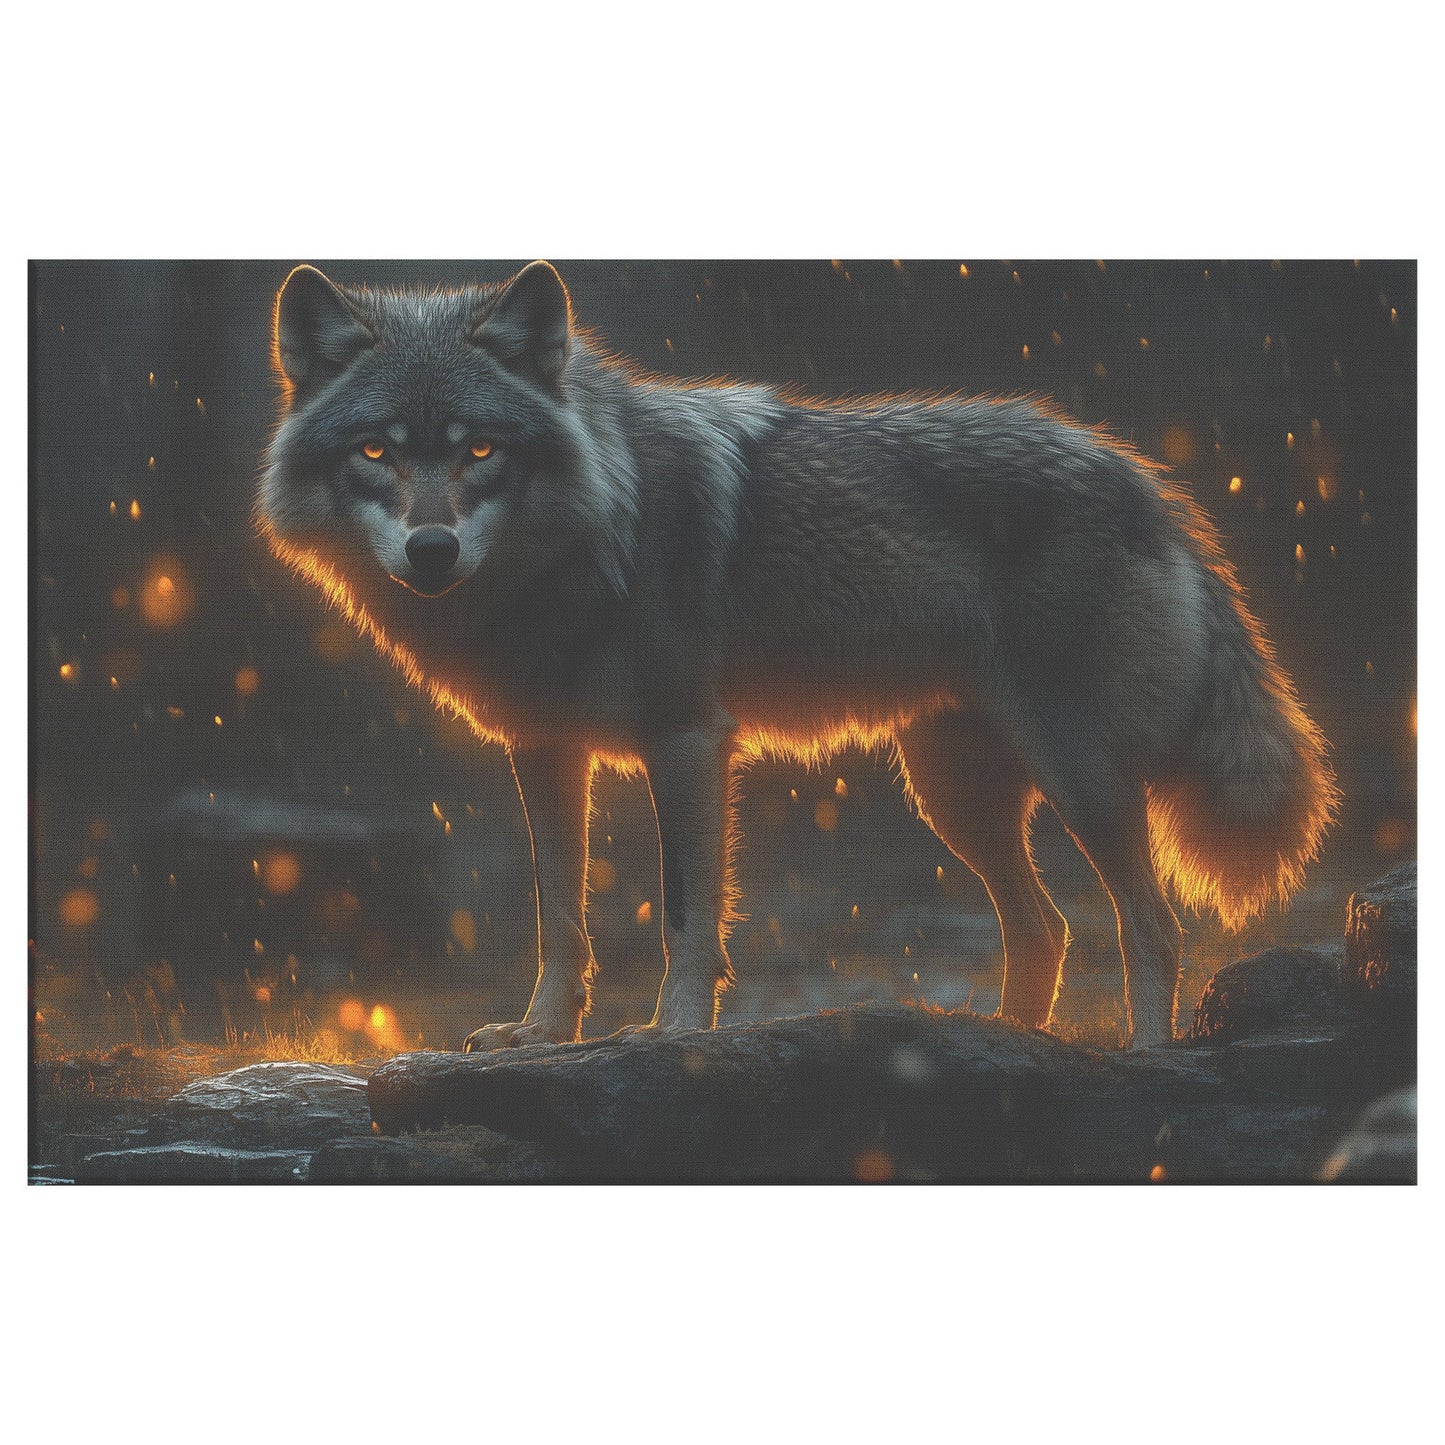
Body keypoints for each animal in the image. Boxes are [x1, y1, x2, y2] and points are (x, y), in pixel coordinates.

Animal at [257, 260, 1338, 1050]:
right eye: (376, 451)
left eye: (478, 449)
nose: (430, 550)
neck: (593, 529)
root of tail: (1141, 475)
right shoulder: (544, 750)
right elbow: (557, 916)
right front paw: (539, 1034)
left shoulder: (687, 740)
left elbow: (685, 916)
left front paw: (670, 1035)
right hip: (955, 797)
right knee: (1047, 928)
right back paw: (1004, 1043)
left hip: (1078, 776)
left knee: (1148, 924)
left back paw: (1143, 1056)